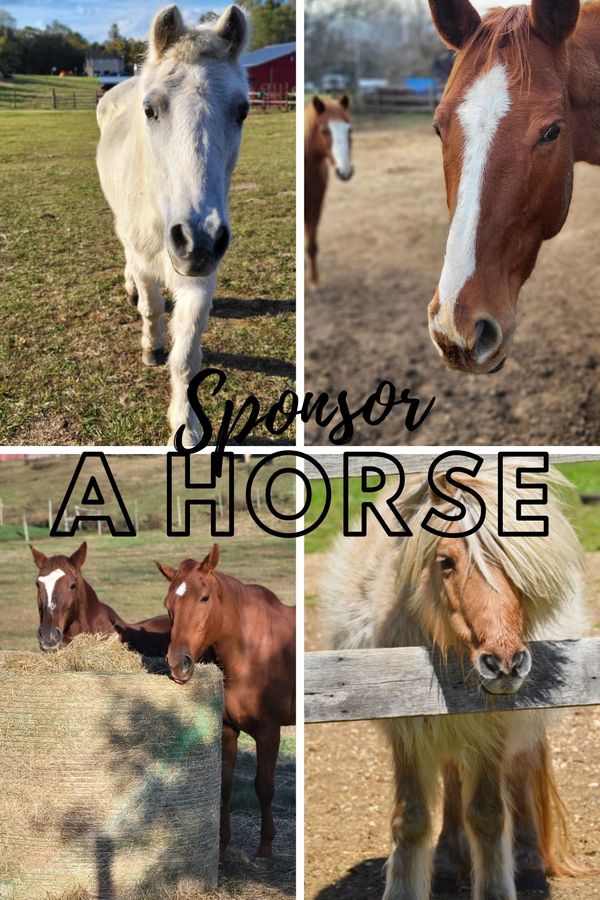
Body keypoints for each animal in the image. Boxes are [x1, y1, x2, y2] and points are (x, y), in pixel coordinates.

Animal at [96, 5, 249, 446]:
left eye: (242, 111)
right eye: (150, 109)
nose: (197, 242)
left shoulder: (201, 278)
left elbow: (186, 356)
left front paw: (186, 425)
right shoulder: (147, 261)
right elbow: (152, 309)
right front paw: (152, 347)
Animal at [156, 543, 295, 862]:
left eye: (204, 597)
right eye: (168, 603)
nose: (178, 664)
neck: (251, 651)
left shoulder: (269, 731)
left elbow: (264, 786)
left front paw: (265, 848)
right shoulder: (228, 729)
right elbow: (224, 785)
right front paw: (220, 847)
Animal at [304, 94, 353, 290]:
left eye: (349, 129)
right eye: (325, 131)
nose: (345, 171)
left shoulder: (315, 208)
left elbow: (311, 246)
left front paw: (314, 282)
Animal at [321, 465, 586, 900]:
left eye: (519, 570)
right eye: (445, 562)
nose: (504, 664)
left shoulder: (490, 731)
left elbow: (489, 815)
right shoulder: (409, 730)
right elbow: (411, 820)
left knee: (521, 770)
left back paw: (529, 864)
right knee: (452, 780)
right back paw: (446, 863)